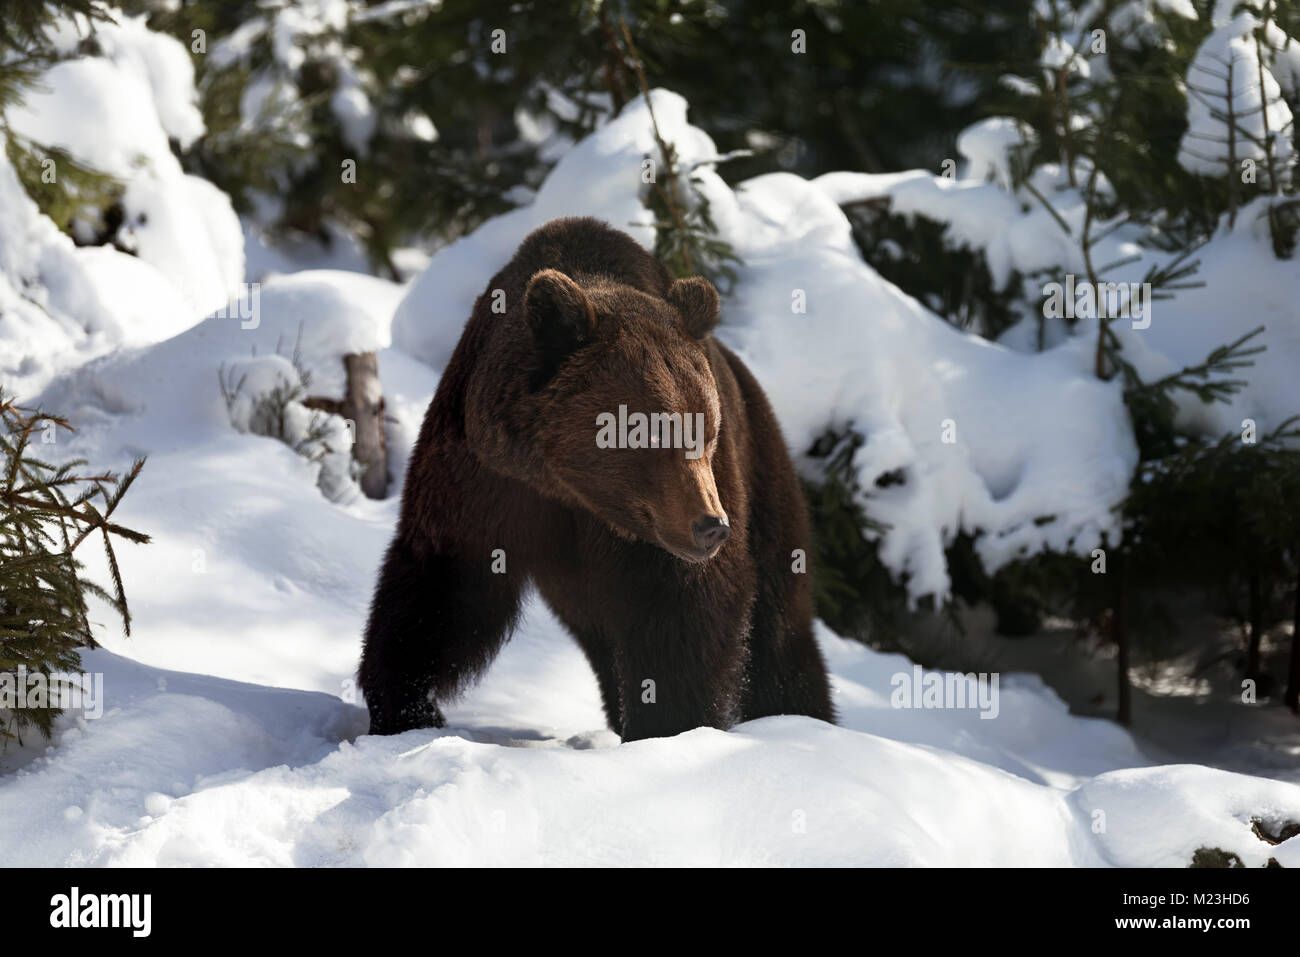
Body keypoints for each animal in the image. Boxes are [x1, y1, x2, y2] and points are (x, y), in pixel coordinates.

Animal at [359, 216, 834, 741]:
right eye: (650, 432)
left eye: (706, 431)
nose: (711, 526)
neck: (569, 486)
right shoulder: (485, 476)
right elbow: (444, 582)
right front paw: (405, 709)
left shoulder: (664, 527)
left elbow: (685, 610)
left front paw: (670, 726)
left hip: (764, 480)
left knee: (780, 628)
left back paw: (799, 718)